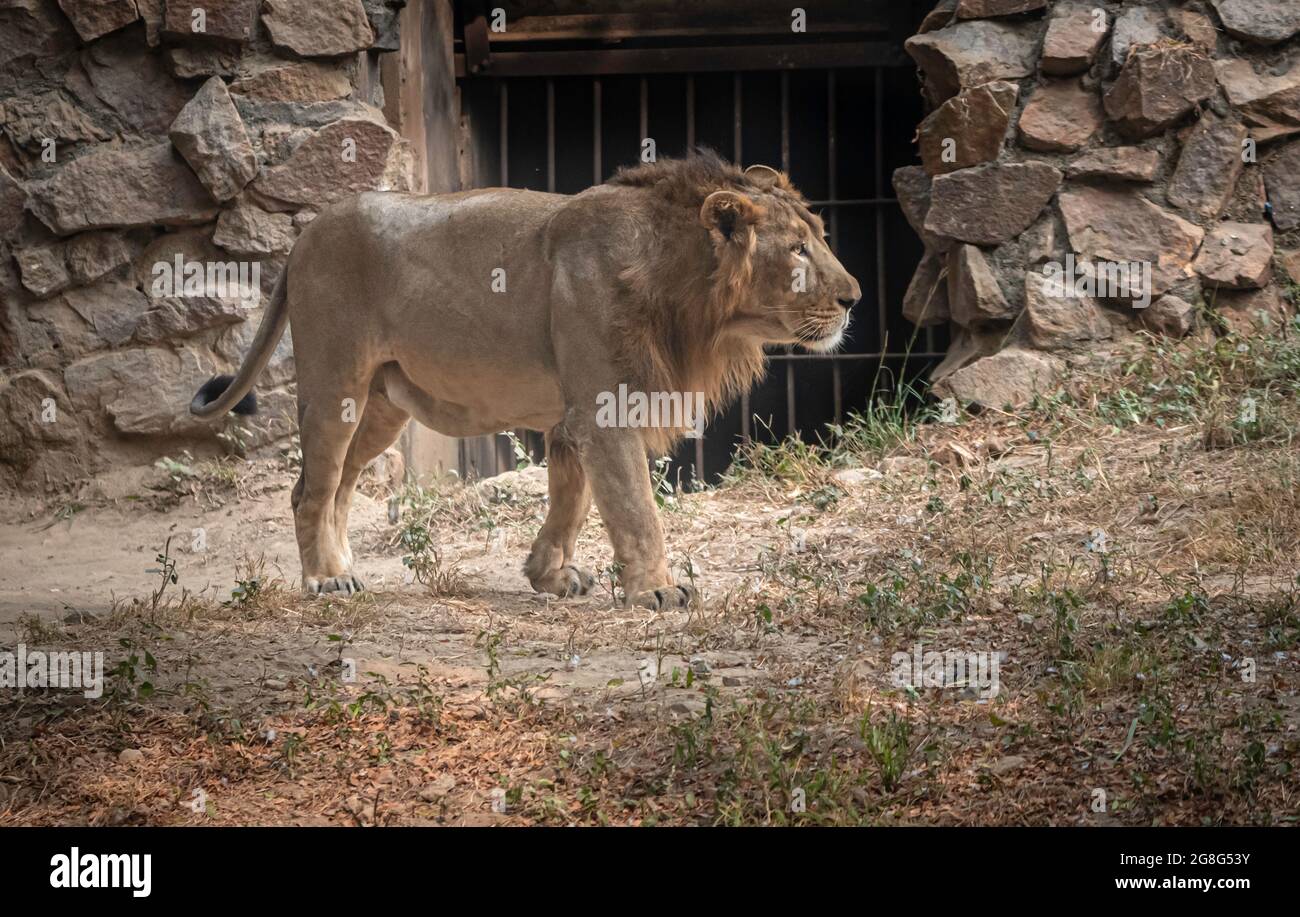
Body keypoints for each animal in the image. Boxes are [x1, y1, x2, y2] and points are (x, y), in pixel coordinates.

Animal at [191, 152, 861, 609]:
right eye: (797, 249)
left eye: (821, 239)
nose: (854, 298)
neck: (690, 295)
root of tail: (304, 236)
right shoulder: (604, 410)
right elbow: (634, 506)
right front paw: (656, 591)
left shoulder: (574, 418)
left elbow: (573, 500)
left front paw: (550, 575)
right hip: (337, 384)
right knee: (313, 487)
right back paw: (325, 577)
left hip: (382, 405)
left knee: (334, 483)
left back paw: (341, 564)